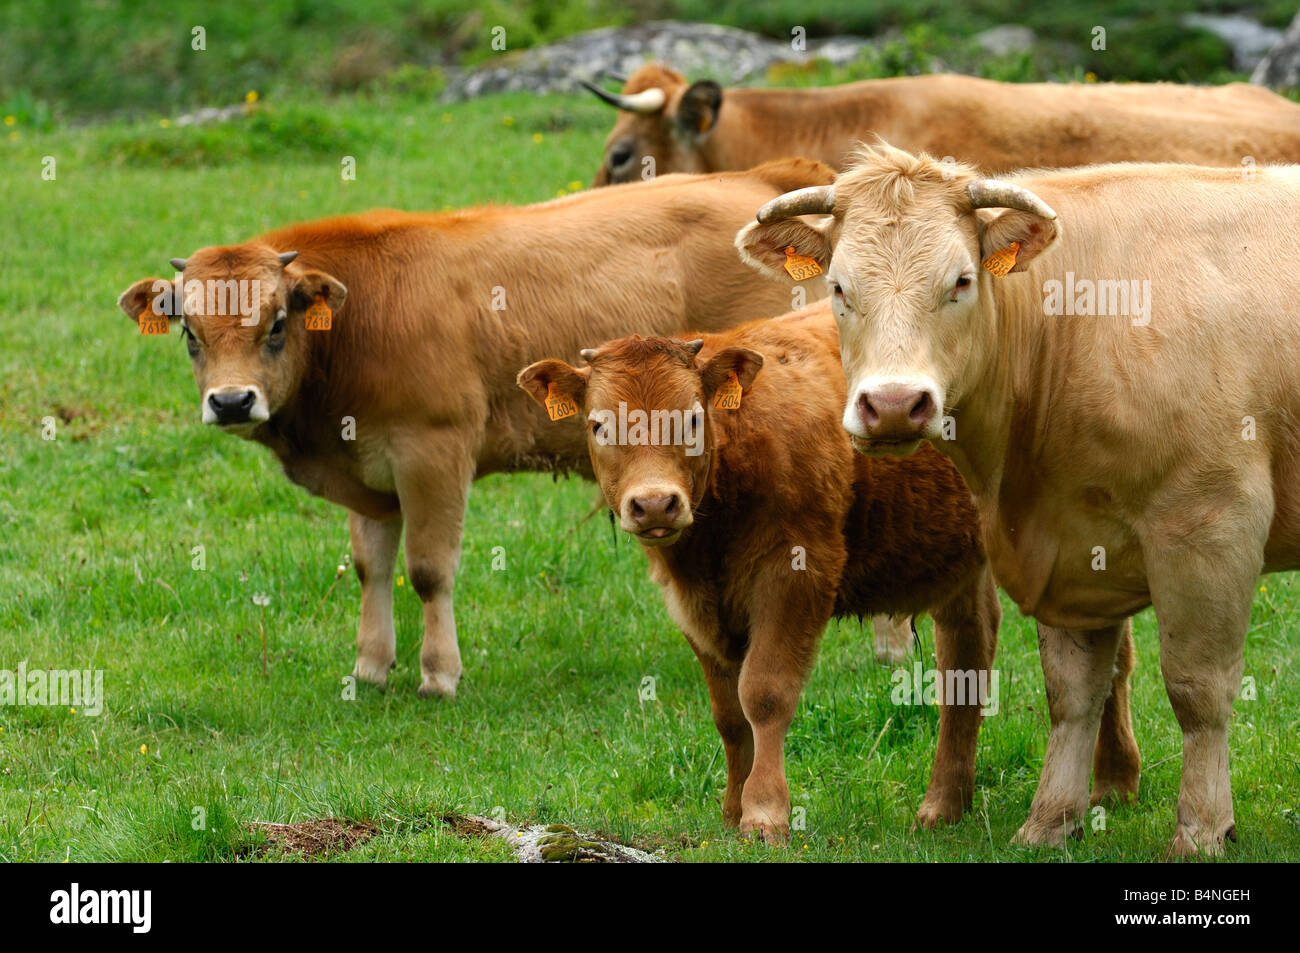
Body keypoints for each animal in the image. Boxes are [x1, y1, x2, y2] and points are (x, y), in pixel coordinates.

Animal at [115, 159, 835, 700]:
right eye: (189, 332)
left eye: (276, 323)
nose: (232, 401)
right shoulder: (367, 467)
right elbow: (370, 565)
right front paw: (370, 667)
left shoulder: (433, 450)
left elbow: (428, 569)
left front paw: (439, 674)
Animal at [517, 307, 1139, 839]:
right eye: (599, 426)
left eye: (693, 418)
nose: (654, 505)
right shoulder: (693, 604)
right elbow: (728, 714)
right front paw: (731, 807)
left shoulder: (798, 574)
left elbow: (764, 694)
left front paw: (764, 813)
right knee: (971, 657)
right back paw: (957, 803)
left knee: (1104, 662)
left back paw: (1107, 783)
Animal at [737, 141, 1300, 856]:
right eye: (838, 287)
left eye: (960, 281)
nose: (892, 404)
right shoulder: (1071, 545)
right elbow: (1073, 693)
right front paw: (1049, 822)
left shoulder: (1211, 524)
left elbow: (1198, 691)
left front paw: (1201, 829)